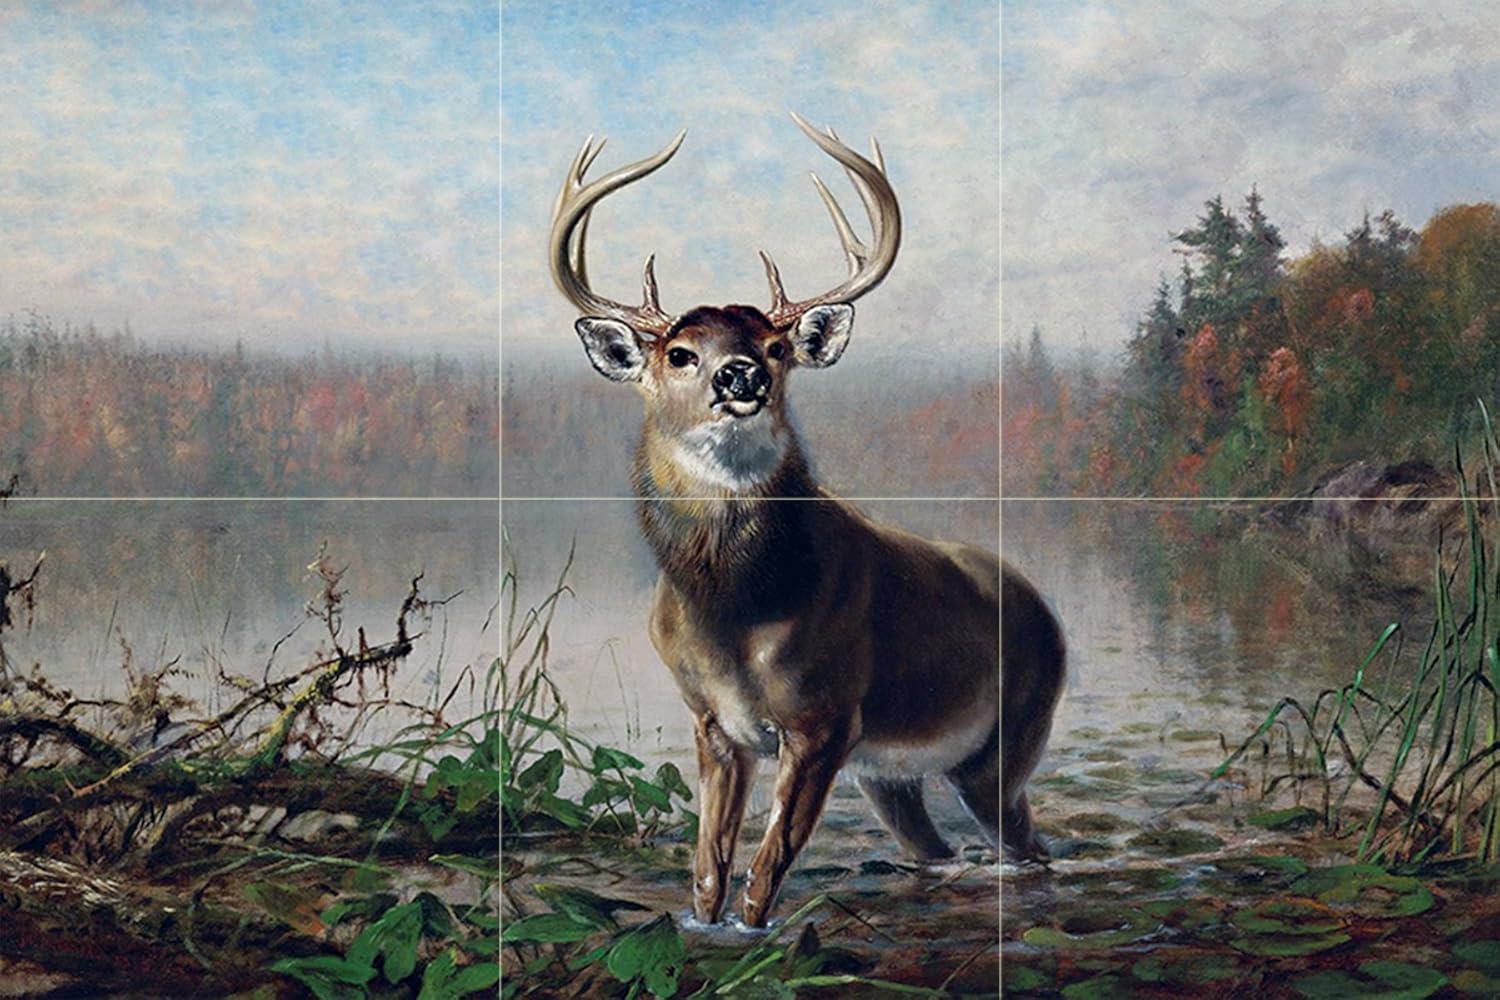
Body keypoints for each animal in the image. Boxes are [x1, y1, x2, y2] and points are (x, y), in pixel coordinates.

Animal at [548, 114, 1066, 927]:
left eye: (775, 345)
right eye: (679, 353)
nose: (742, 375)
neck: (736, 609)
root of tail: (1047, 612)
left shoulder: (826, 718)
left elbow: (765, 872)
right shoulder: (714, 723)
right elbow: (709, 870)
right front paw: (705, 928)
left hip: (1007, 743)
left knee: (1030, 847)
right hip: (892, 773)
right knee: (938, 849)